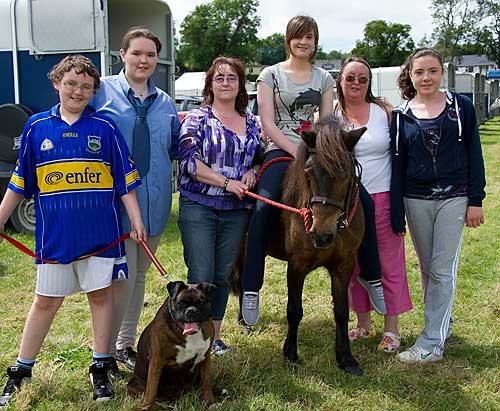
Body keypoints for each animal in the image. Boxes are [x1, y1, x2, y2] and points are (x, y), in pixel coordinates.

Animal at [127, 282, 215, 410]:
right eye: (181, 302)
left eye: (200, 302)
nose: (191, 311)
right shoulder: (156, 361)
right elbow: (151, 390)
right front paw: (146, 407)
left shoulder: (205, 357)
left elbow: (207, 381)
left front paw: (210, 402)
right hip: (134, 385)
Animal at [236, 113, 366, 376]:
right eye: (309, 173)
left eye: (347, 173)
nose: (321, 236)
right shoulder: (297, 265)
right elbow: (294, 310)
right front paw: (290, 353)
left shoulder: (344, 266)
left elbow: (342, 312)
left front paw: (346, 359)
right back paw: (245, 322)